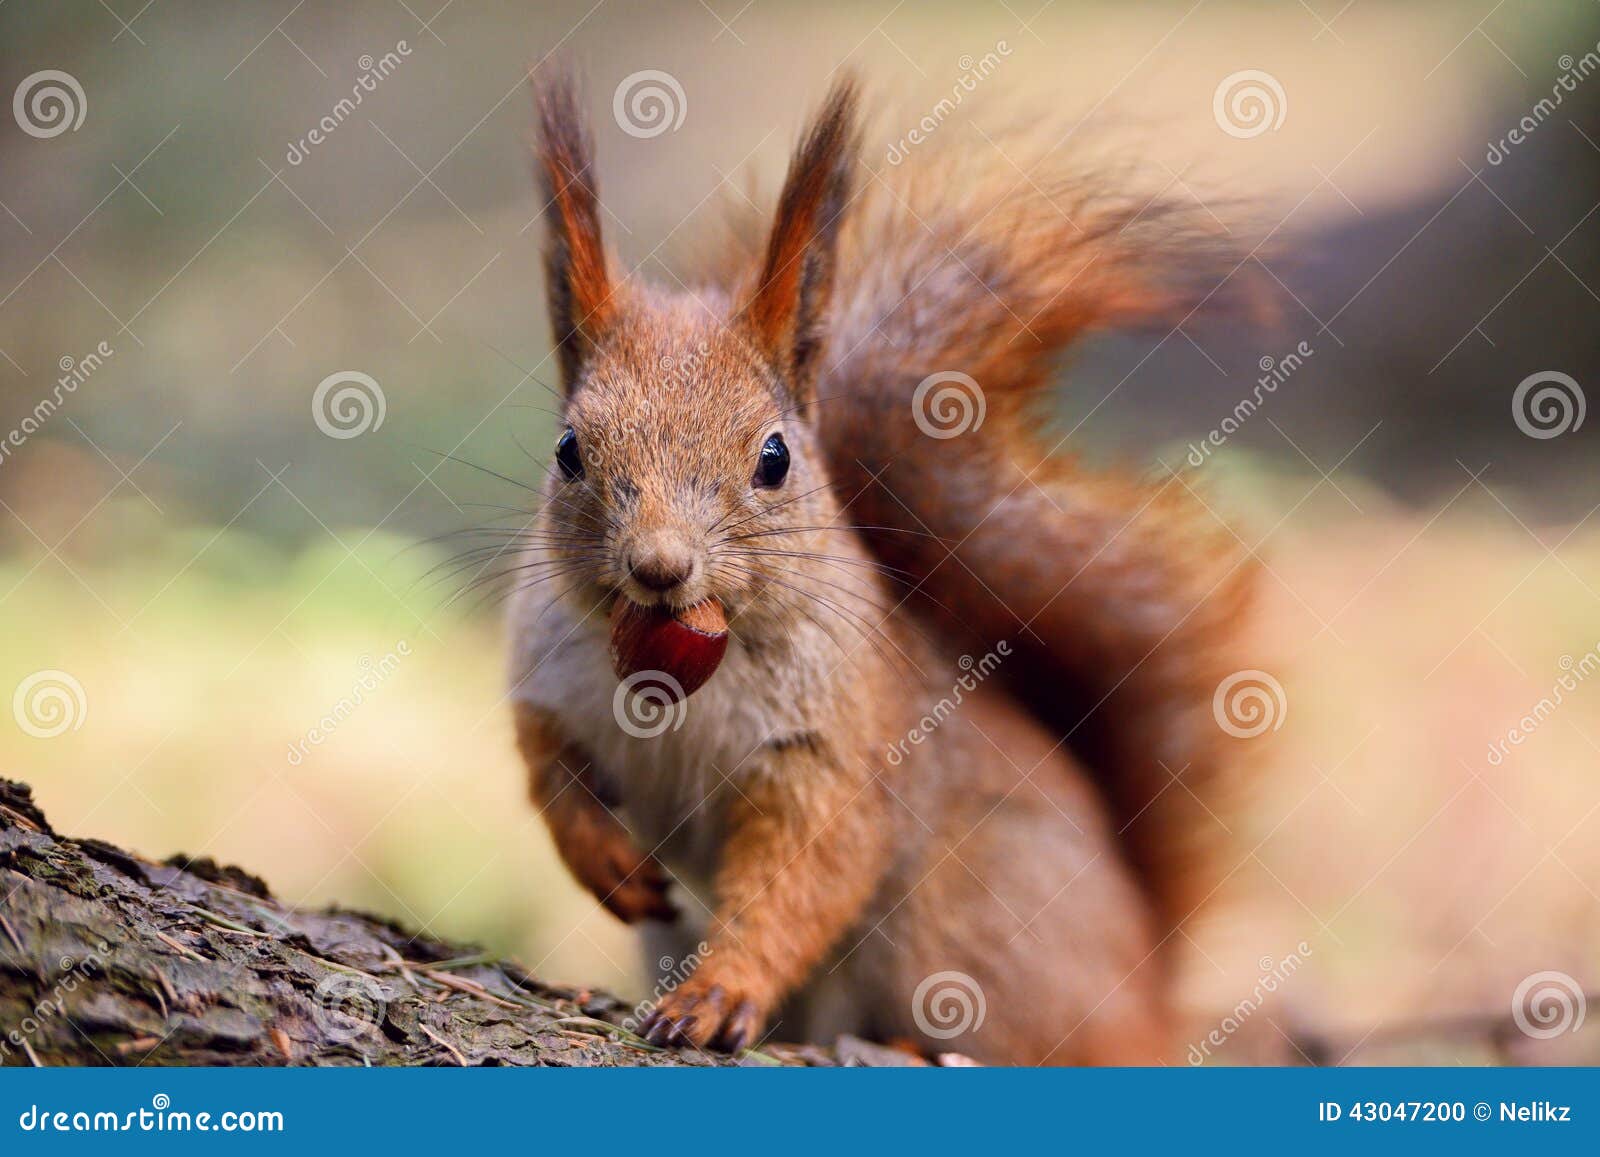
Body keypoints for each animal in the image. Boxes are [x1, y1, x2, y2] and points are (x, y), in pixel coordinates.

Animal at [505, 72, 1257, 1065]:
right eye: (568, 450)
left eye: (776, 457)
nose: (660, 566)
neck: (679, 674)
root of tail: (1150, 985)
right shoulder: (547, 684)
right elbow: (548, 775)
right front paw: (606, 862)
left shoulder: (835, 751)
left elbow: (807, 871)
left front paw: (718, 991)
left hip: (968, 924)